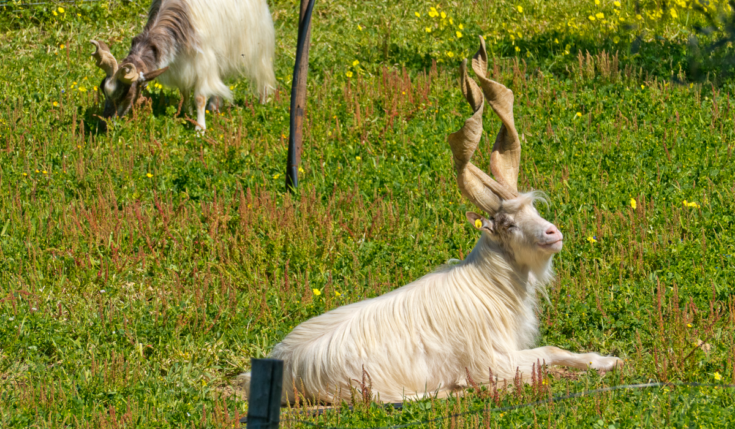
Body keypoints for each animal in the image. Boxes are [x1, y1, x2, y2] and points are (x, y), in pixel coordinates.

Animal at [90, 0, 276, 131]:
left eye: (127, 94)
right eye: (104, 91)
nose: (105, 125)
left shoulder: (202, 61)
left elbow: (199, 97)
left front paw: (200, 129)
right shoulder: (181, 64)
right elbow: (185, 91)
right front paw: (186, 113)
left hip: (255, 40)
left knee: (262, 70)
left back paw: (263, 101)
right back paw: (215, 106)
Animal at [235, 38, 622, 404]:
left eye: (533, 211)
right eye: (507, 224)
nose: (552, 233)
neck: (488, 285)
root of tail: (284, 369)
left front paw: (609, 360)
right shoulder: (493, 361)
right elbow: (548, 352)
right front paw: (606, 361)